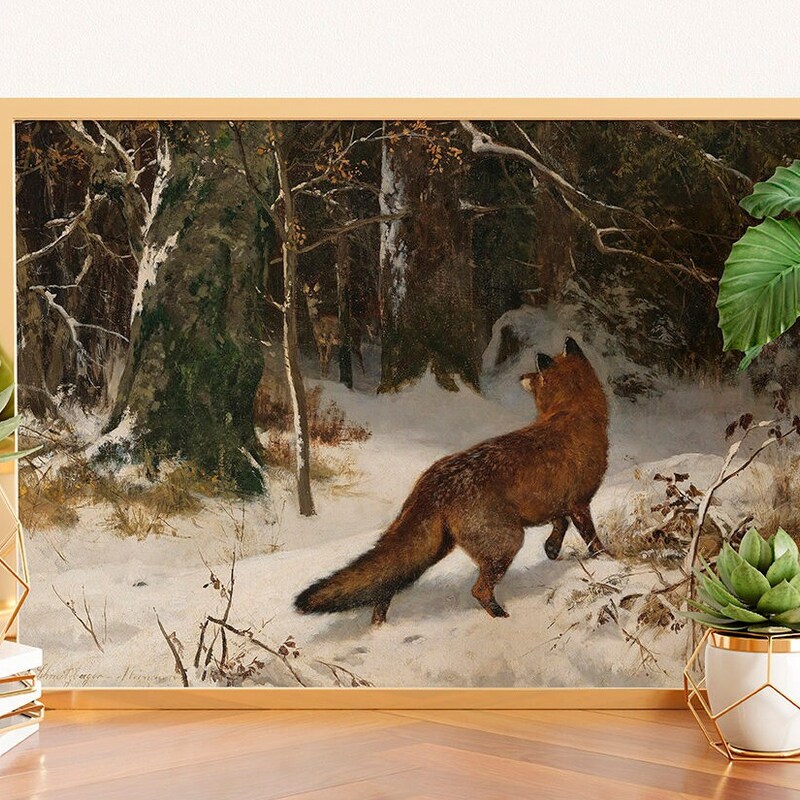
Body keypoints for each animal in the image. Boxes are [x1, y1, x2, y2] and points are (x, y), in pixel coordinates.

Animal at [294, 336, 609, 624]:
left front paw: (552, 549)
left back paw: (378, 628)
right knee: (478, 590)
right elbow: (591, 539)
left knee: (386, 585)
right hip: (506, 542)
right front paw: (607, 560)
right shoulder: (579, 503)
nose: (521, 377)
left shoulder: (557, 502)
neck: (573, 415)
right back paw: (500, 616)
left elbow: (560, 523)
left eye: (533, 374)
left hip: (434, 548)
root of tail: (433, 480)